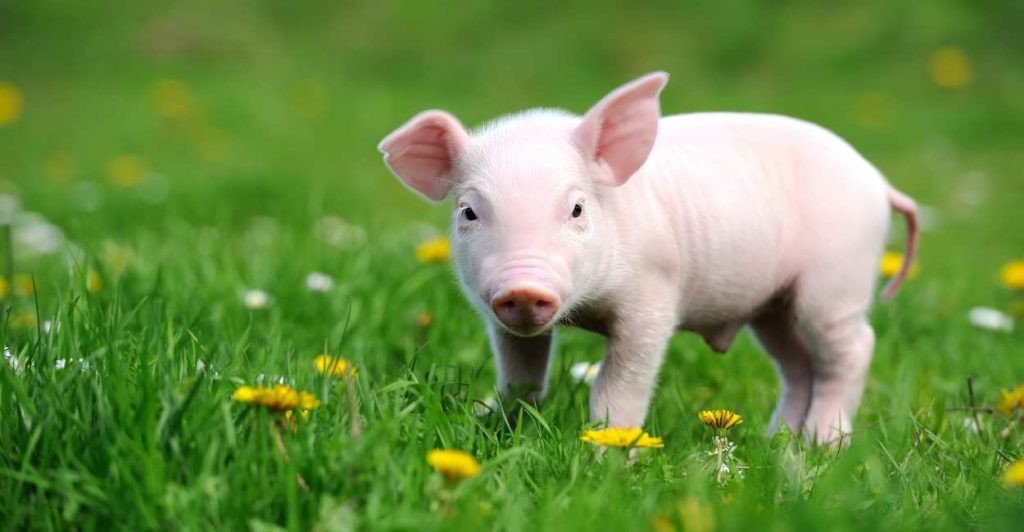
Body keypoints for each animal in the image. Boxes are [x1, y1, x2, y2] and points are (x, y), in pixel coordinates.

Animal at [378, 72, 919, 444]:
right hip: (773, 306)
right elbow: (520, 377)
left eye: (577, 208)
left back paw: (822, 445)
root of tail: (879, 182)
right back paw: (775, 444)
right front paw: (494, 427)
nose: (524, 287)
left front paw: (608, 454)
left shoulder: (652, 299)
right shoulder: (501, 320)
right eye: (468, 211)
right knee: (798, 365)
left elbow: (618, 388)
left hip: (836, 280)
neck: (585, 309)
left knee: (853, 349)